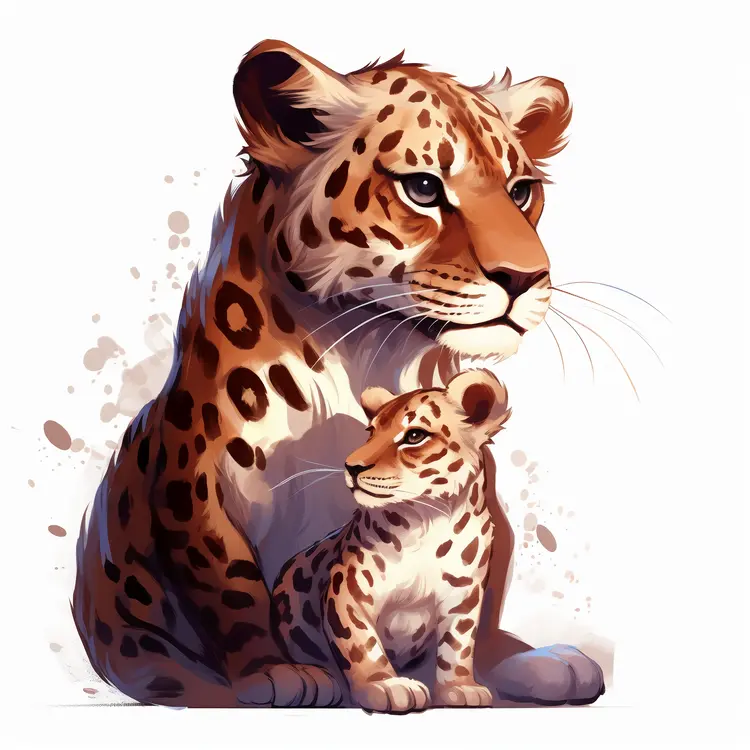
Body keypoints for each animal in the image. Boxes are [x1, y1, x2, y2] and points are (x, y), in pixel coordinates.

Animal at [273, 369, 511, 713]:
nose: (351, 466)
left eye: (414, 436)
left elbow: (458, 645)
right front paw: (385, 684)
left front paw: (459, 687)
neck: (426, 524)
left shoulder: (464, 596)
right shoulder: (347, 589)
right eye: (371, 432)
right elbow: (362, 642)